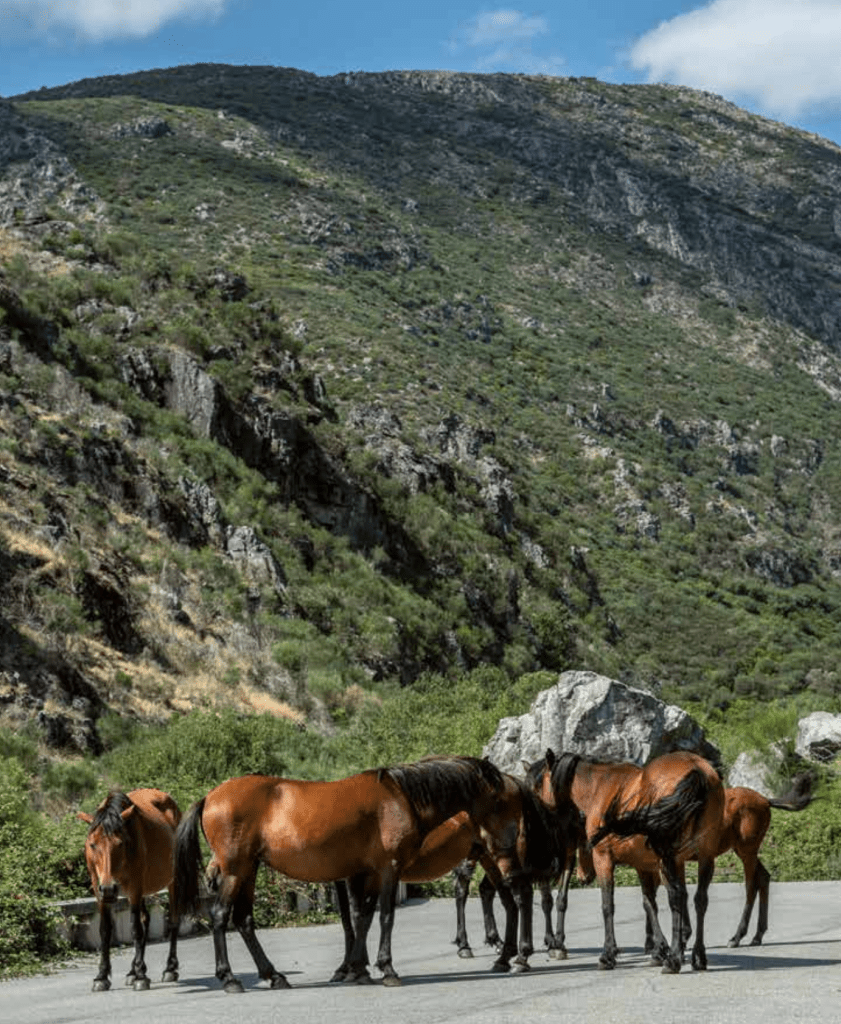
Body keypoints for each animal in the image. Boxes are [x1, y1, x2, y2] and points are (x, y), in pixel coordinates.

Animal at [78, 788, 182, 992]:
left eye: (120, 843)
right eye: (92, 844)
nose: (109, 888)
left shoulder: (134, 887)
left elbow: (135, 929)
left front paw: (141, 976)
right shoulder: (99, 890)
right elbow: (105, 930)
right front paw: (102, 976)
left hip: (171, 881)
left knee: (172, 920)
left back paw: (169, 968)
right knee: (145, 919)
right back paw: (133, 971)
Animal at [174, 756, 514, 992]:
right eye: (498, 798)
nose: (506, 841)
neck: (401, 798)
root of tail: (210, 797)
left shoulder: (367, 873)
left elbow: (361, 918)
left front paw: (357, 969)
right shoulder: (388, 868)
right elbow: (384, 917)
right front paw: (385, 969)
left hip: (249, 869)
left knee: (243, 920)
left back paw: (274, 975)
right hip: (235, 869)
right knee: (221, 916)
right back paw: (230, 978)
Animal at [533, 748, 724, 974]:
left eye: (539, 785)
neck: (599, 786)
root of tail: (696, 769)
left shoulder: (603, 859)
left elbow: (608, 906)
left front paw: (608, 954)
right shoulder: (644, 866)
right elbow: (649, 904)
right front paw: (659, 949)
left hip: (668, 860)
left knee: (677, 898)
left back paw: (674, 960)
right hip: (704, 858)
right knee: (699, 900)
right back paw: (697, 957)